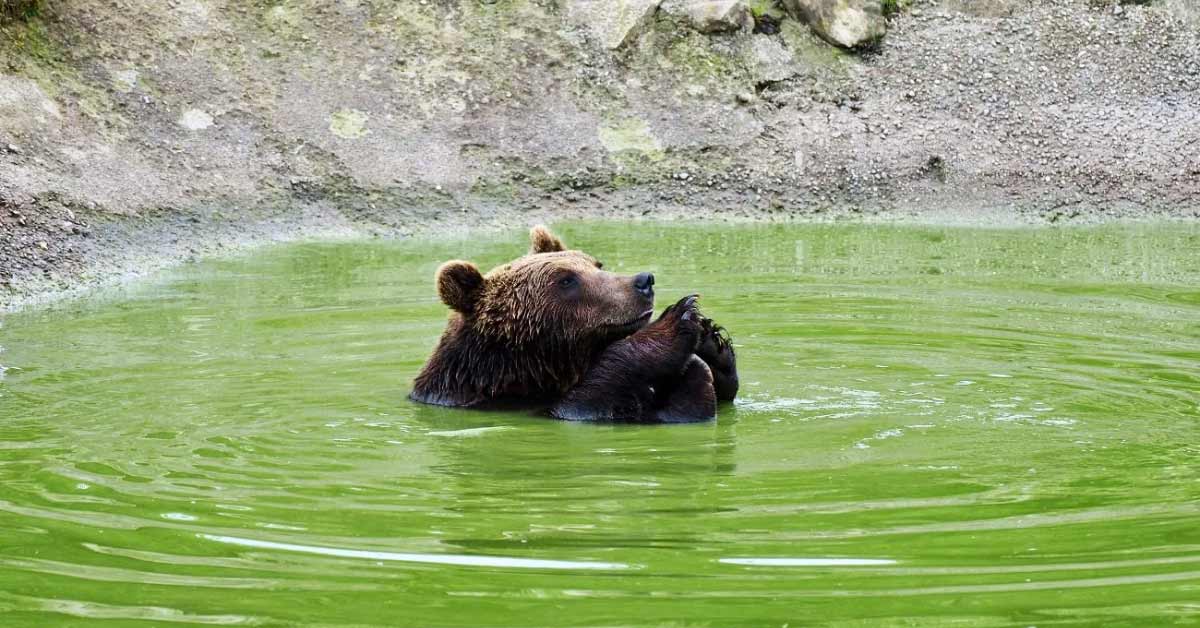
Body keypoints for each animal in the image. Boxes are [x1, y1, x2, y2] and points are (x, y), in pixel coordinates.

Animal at [409, 225, 738, 423]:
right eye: (567, 280)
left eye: (596, 264)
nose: (643, 281)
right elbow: (588, 400)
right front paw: (677, 322)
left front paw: (712, 343)